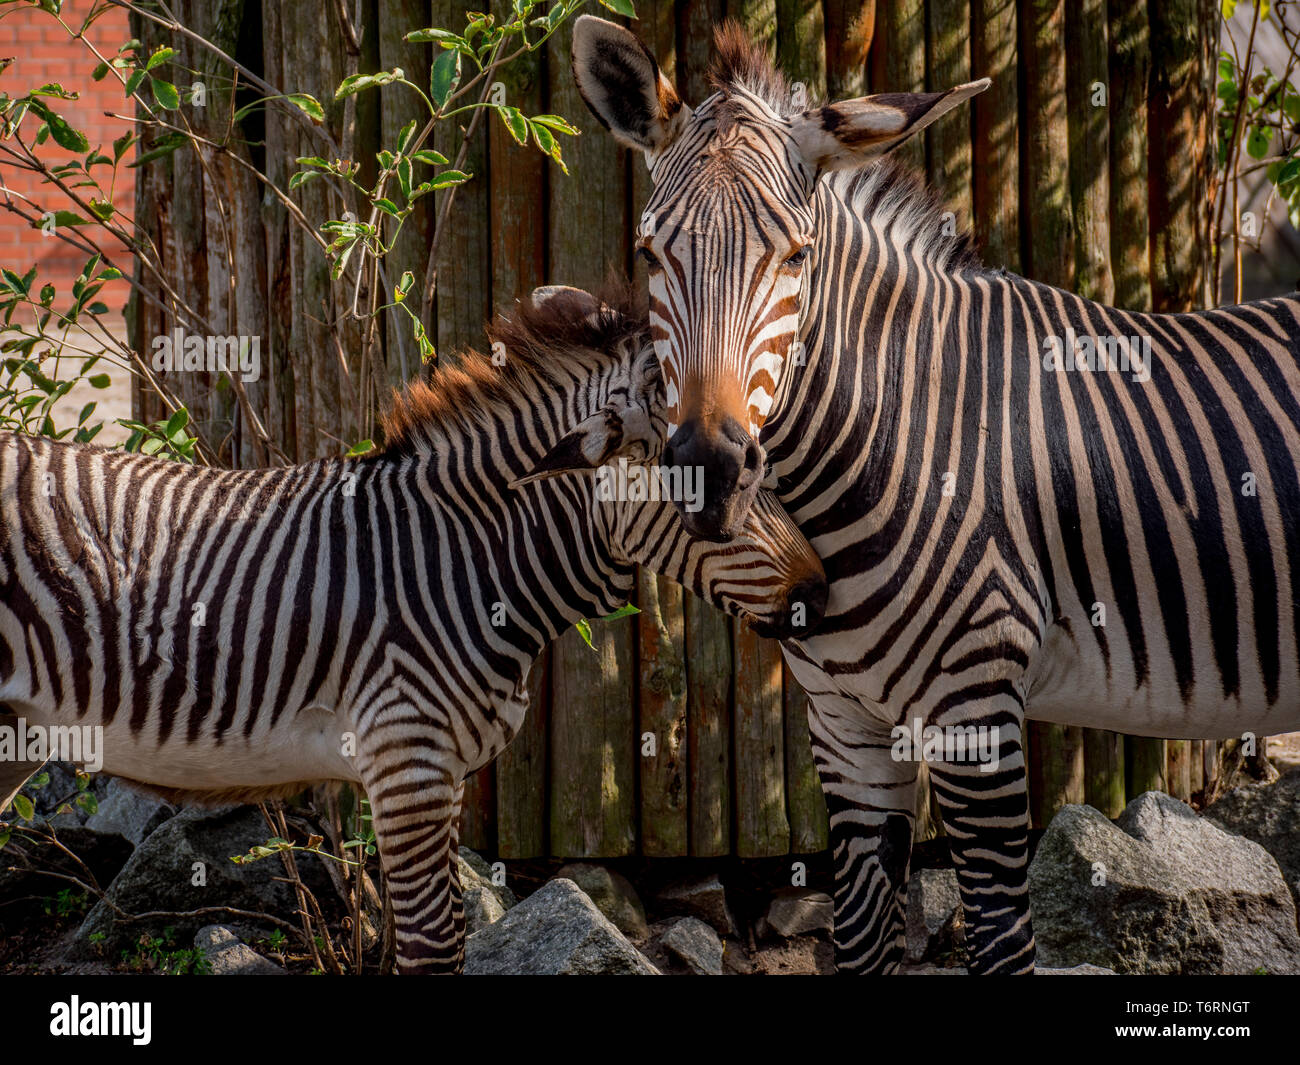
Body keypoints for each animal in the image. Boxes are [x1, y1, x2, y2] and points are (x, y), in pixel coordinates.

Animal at [0, 284, 827, 973]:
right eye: (702, 467)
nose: (818, 593)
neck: (461, 559)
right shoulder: (409, 762)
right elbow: (434, 946)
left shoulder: (441, 770)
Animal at [573, 16, 1300, 974]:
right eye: (651, 252)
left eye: (796, 255)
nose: (712, 466)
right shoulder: (846, 728)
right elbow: (858, 940)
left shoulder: (976, 711)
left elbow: (999, 940)